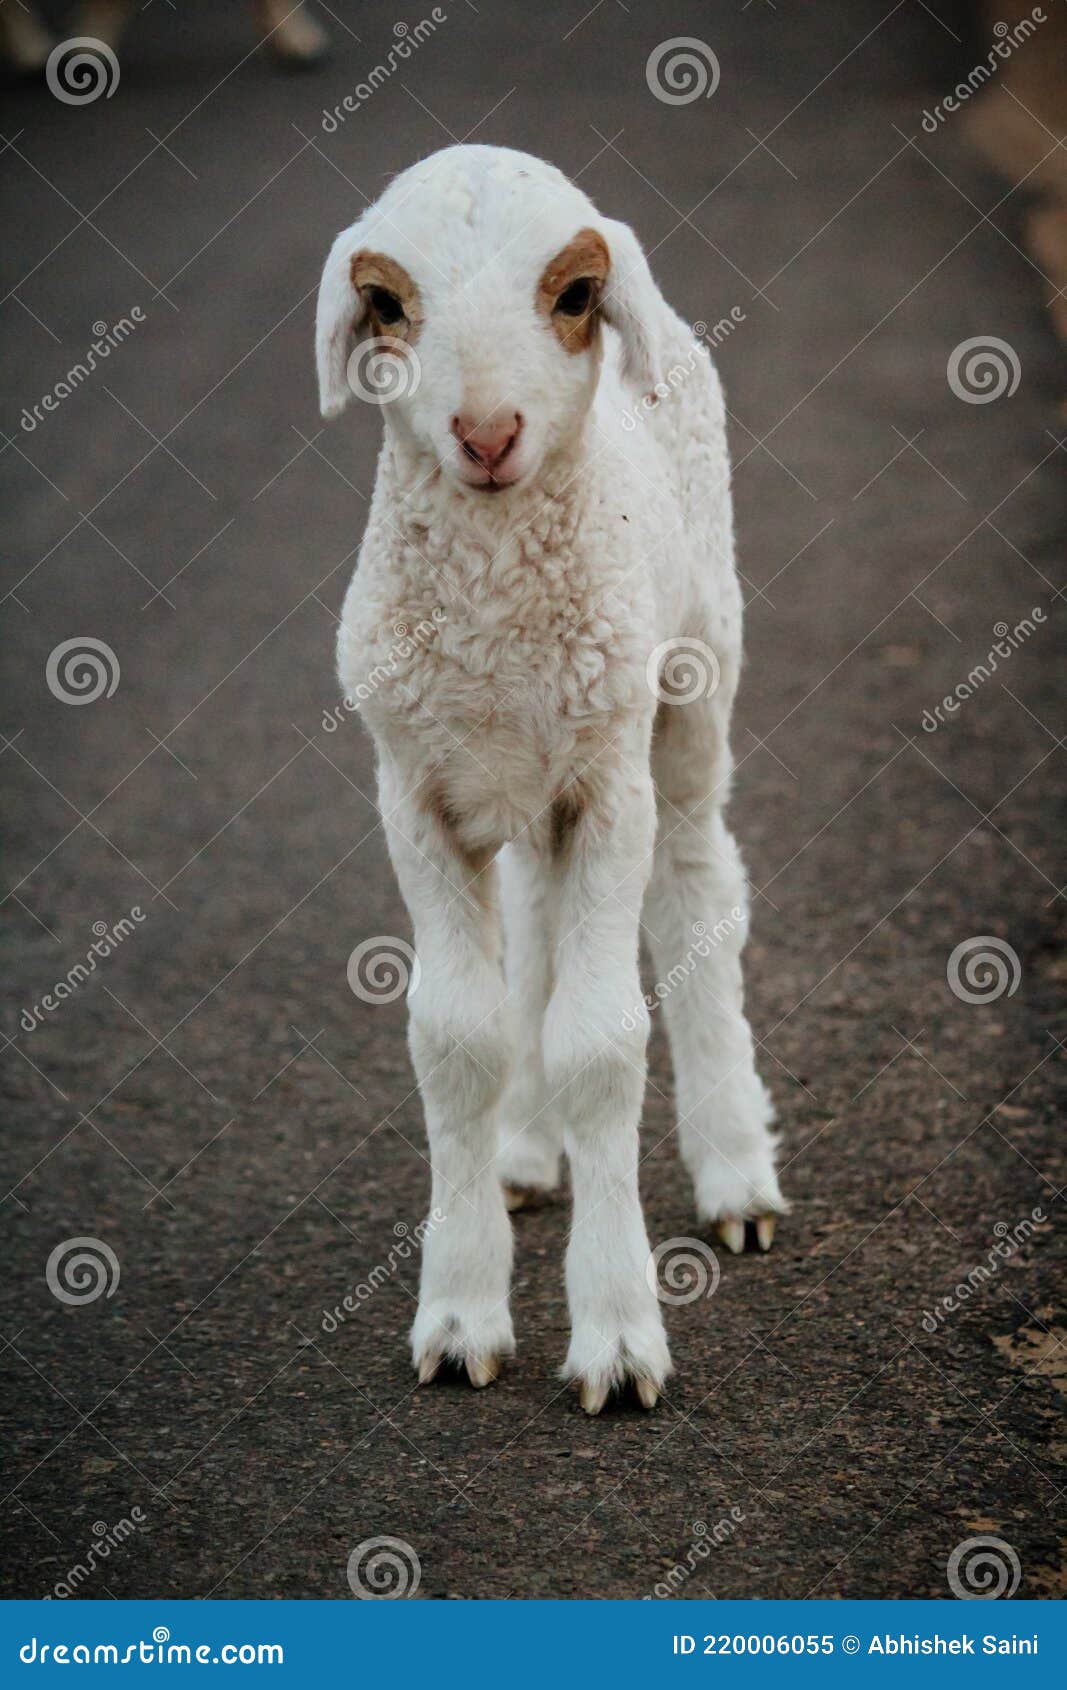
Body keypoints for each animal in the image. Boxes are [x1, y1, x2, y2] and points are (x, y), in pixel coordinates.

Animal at [315, 144, 786, 1414]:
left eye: (572, 295)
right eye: (386, 305)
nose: (485, 434)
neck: (491, 612)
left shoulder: (609, 789)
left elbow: (601, 1044)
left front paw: (618, 1339)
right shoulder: (415, 793)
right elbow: (455, 1039)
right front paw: (460, 1312)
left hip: (690, 688)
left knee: (697, 890)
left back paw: (735, 1170)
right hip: (524, 780)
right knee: (531, 920)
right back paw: (525, 1152)